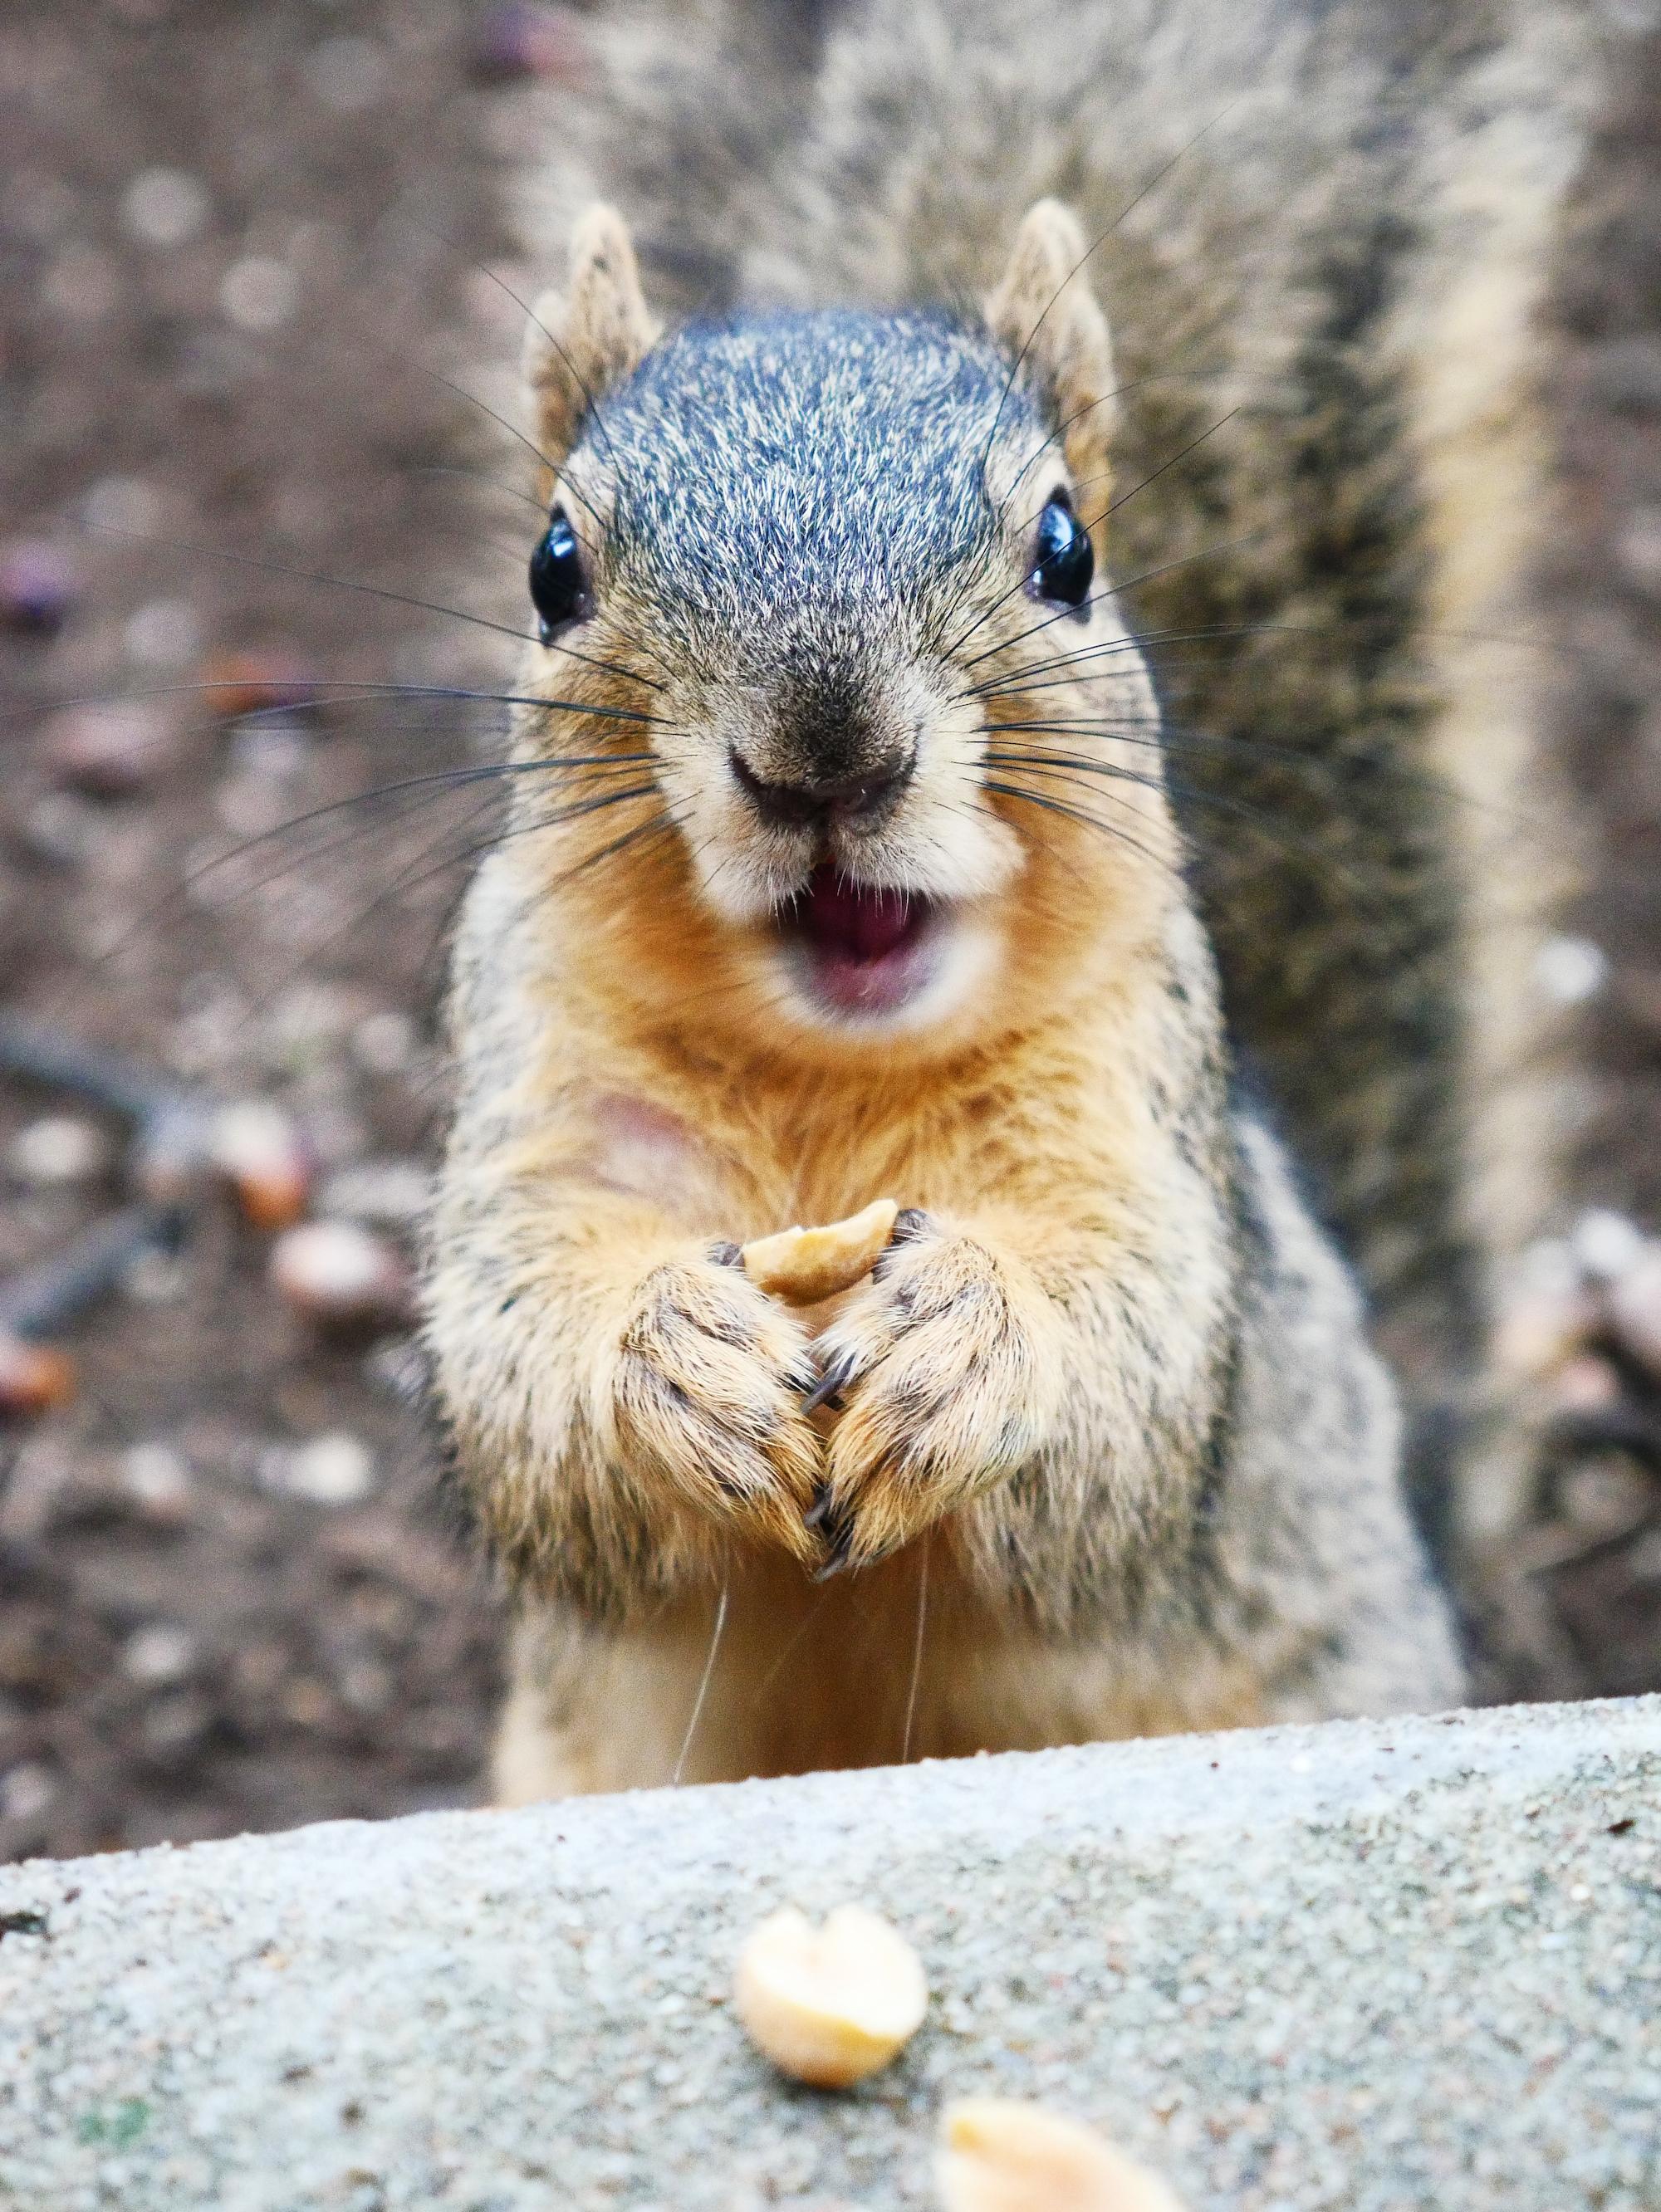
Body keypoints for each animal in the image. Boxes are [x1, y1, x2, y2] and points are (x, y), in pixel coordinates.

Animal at [426, 0, 1652, 1796]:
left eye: (1065, 548)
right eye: (553, 568)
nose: (822, 753)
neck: (830, 1071)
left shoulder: (1138, 1109)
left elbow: (1133, 1375)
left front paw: (970, 1335)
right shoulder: (536, 1094)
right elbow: (514, 1374)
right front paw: (676, 1354)